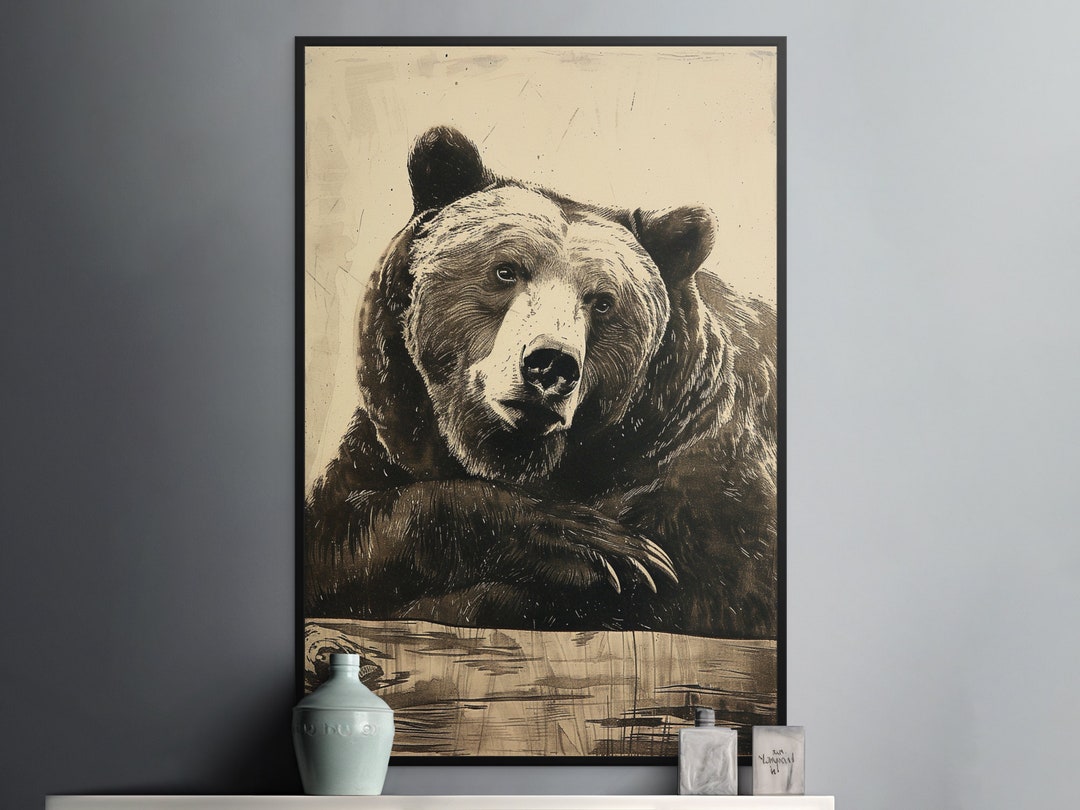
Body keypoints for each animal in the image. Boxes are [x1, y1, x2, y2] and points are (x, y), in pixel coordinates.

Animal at [305, 126, 778, 639]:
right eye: (506, 270)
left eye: (602, 301)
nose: (551, 363)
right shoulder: (388, 439)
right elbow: (340, 532)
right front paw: (597, 547)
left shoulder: (696, 457)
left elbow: (714, 583)